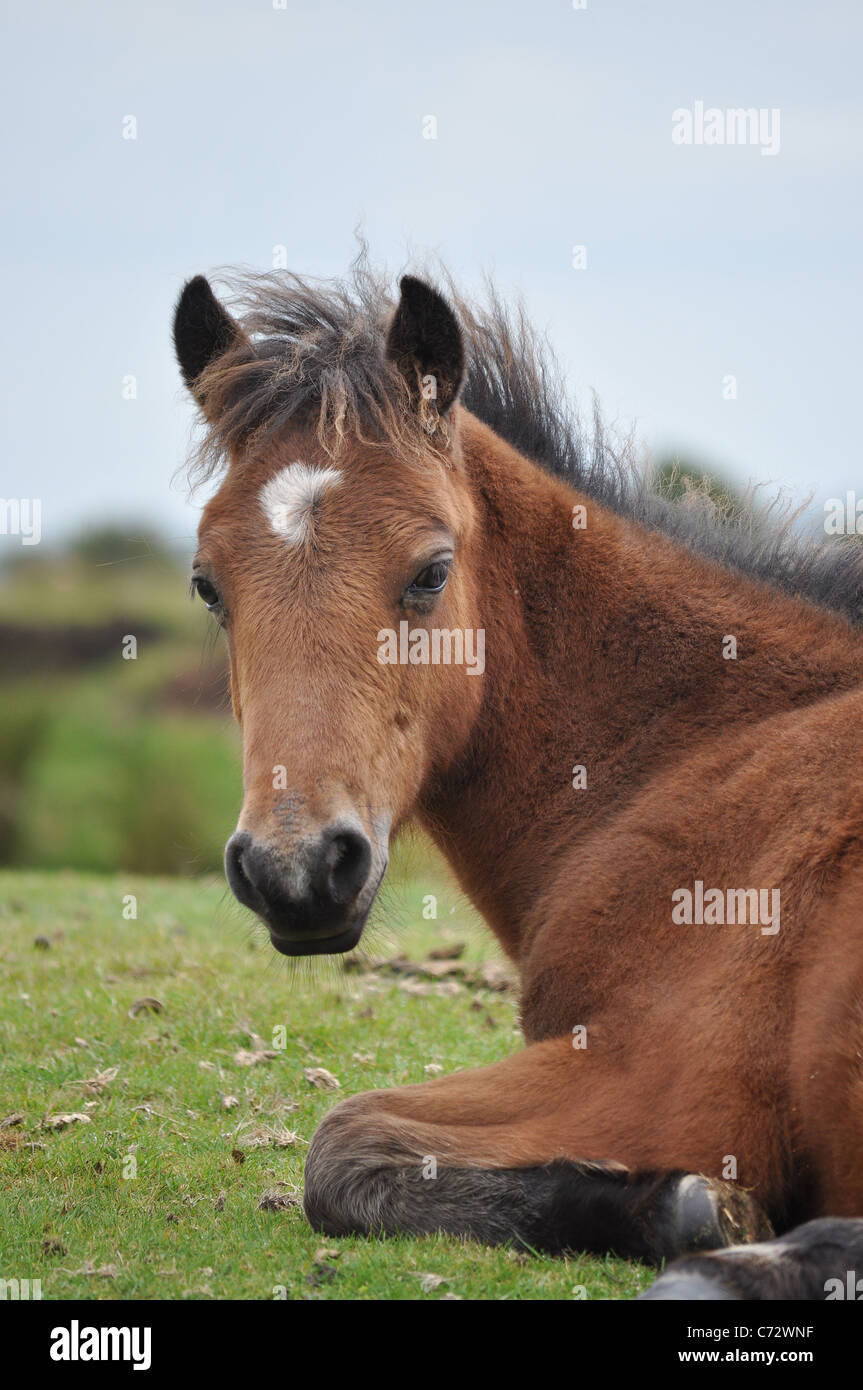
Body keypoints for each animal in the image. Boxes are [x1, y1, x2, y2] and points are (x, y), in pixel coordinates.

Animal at [173, 261, 863, 1298]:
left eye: (430, 572)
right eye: (208, 585)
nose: (295, 871)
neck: (708, 752)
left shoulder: (667, 1080)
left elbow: (342, 1145)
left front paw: (693, 1207)